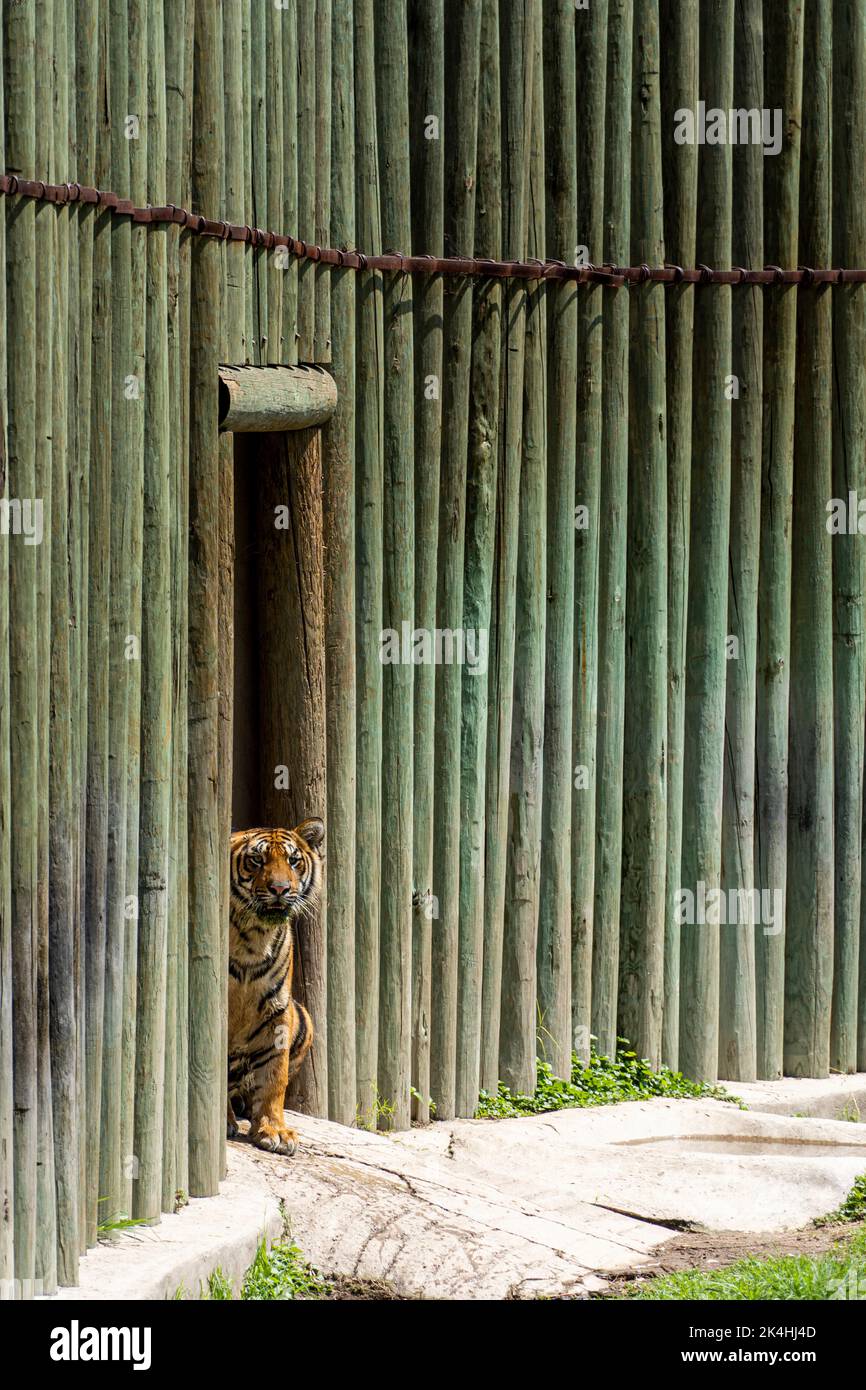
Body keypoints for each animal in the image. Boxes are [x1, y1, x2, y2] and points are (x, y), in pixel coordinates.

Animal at [227, 819, 324, 1156]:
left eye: (293, 861)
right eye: (257, 860)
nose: (280, 889)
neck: (254, 936)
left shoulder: (277, 1010)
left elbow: (274, 1076)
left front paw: (275, 1131)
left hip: (303, 1016)